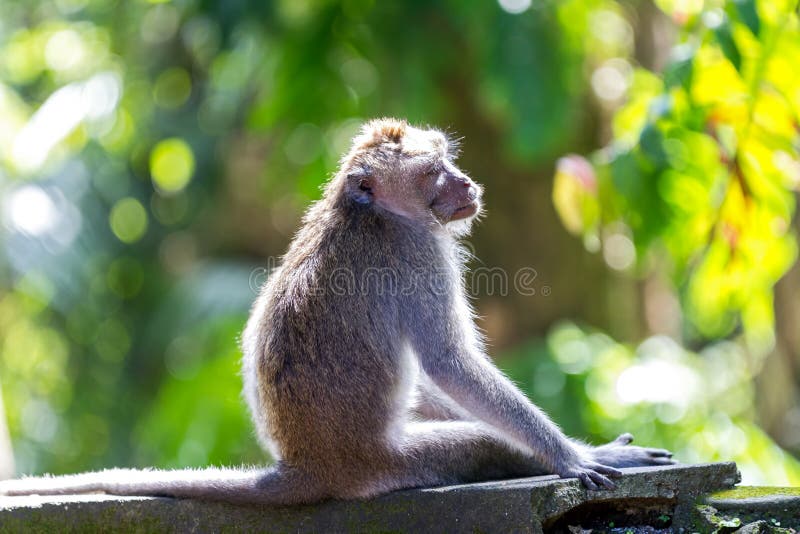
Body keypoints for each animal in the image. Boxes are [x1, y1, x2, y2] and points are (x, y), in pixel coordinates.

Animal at [0, 118, 673, 505]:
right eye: (433, 172)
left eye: (447, 161)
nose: (466, 184)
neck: (367, 210)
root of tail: (307, 465)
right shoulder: (416, 252)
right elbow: (448, 362)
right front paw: (571, 456)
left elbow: (434, 378)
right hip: (388, 461)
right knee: (478, 438)